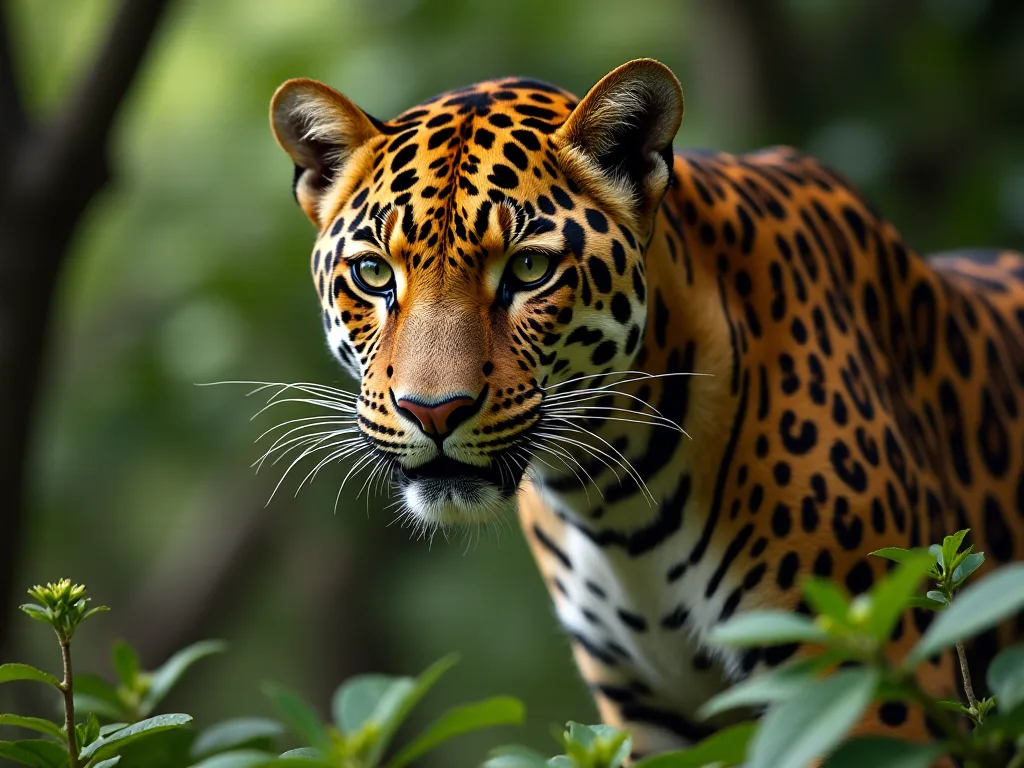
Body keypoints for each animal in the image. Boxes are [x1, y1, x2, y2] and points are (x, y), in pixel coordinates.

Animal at [267, 59, 1024, 761]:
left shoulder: (859, 688)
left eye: (530, 270)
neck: (617, 502)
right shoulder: (646, 715)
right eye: (373, 274)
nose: (433, 412)